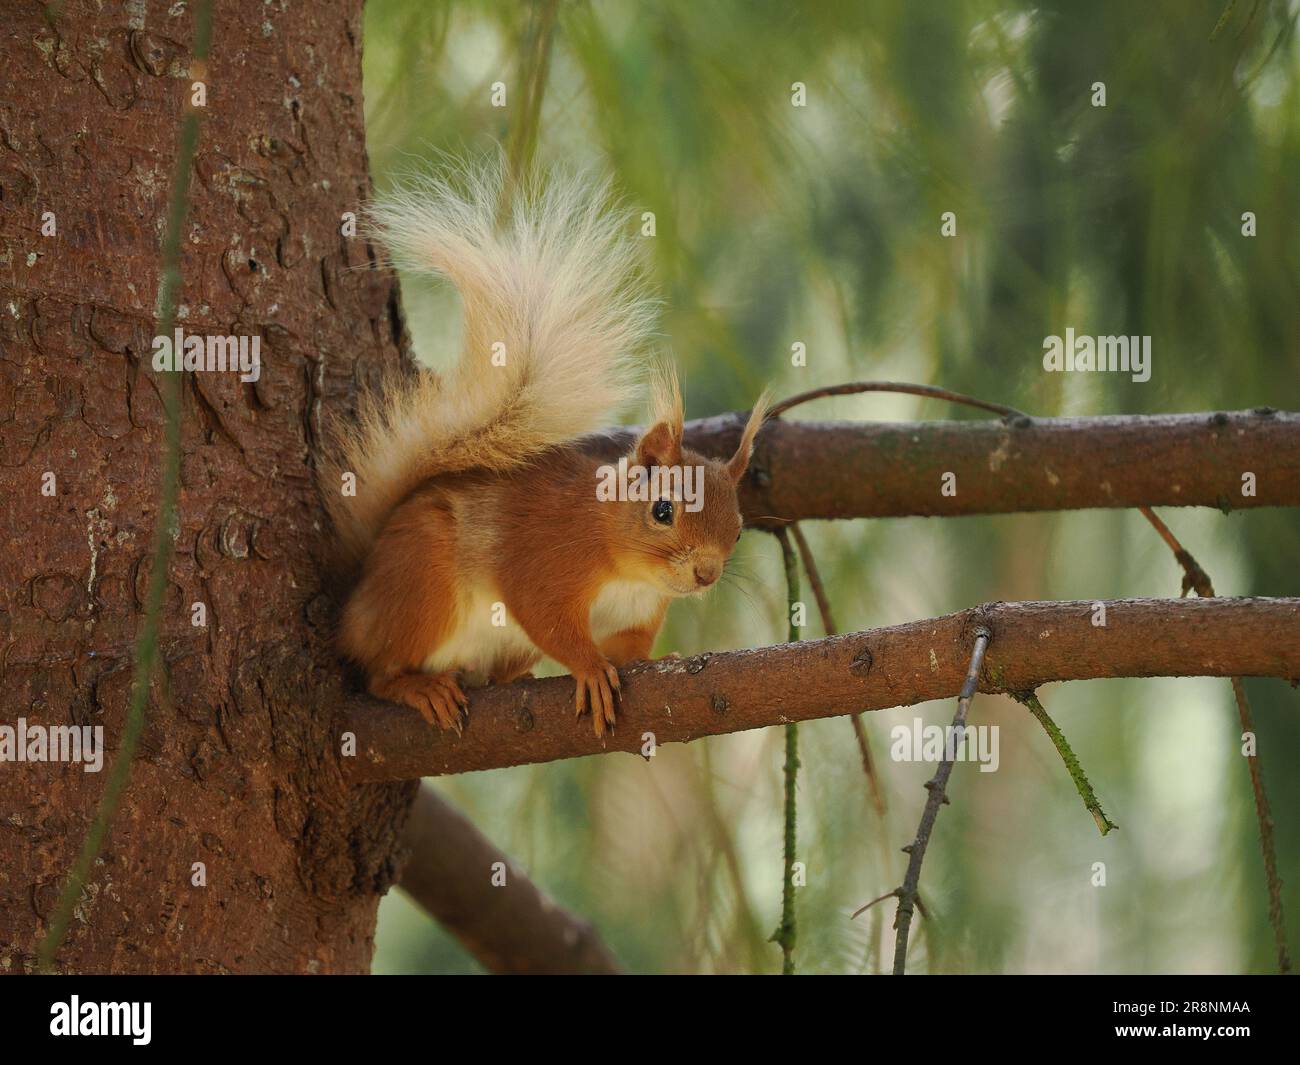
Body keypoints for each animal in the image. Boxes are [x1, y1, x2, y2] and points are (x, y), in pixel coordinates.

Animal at [320, 161, 768, 737]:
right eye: (663, 510)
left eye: (737, 529)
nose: (706, 575)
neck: (624, 565)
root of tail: (357, 601)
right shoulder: (546, 560)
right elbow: (548, 620)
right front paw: (590, 669)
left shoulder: (640, 613)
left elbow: (630, 650)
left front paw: (653, 661)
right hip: (423, 591)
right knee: (380, 670)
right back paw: (418, 686)